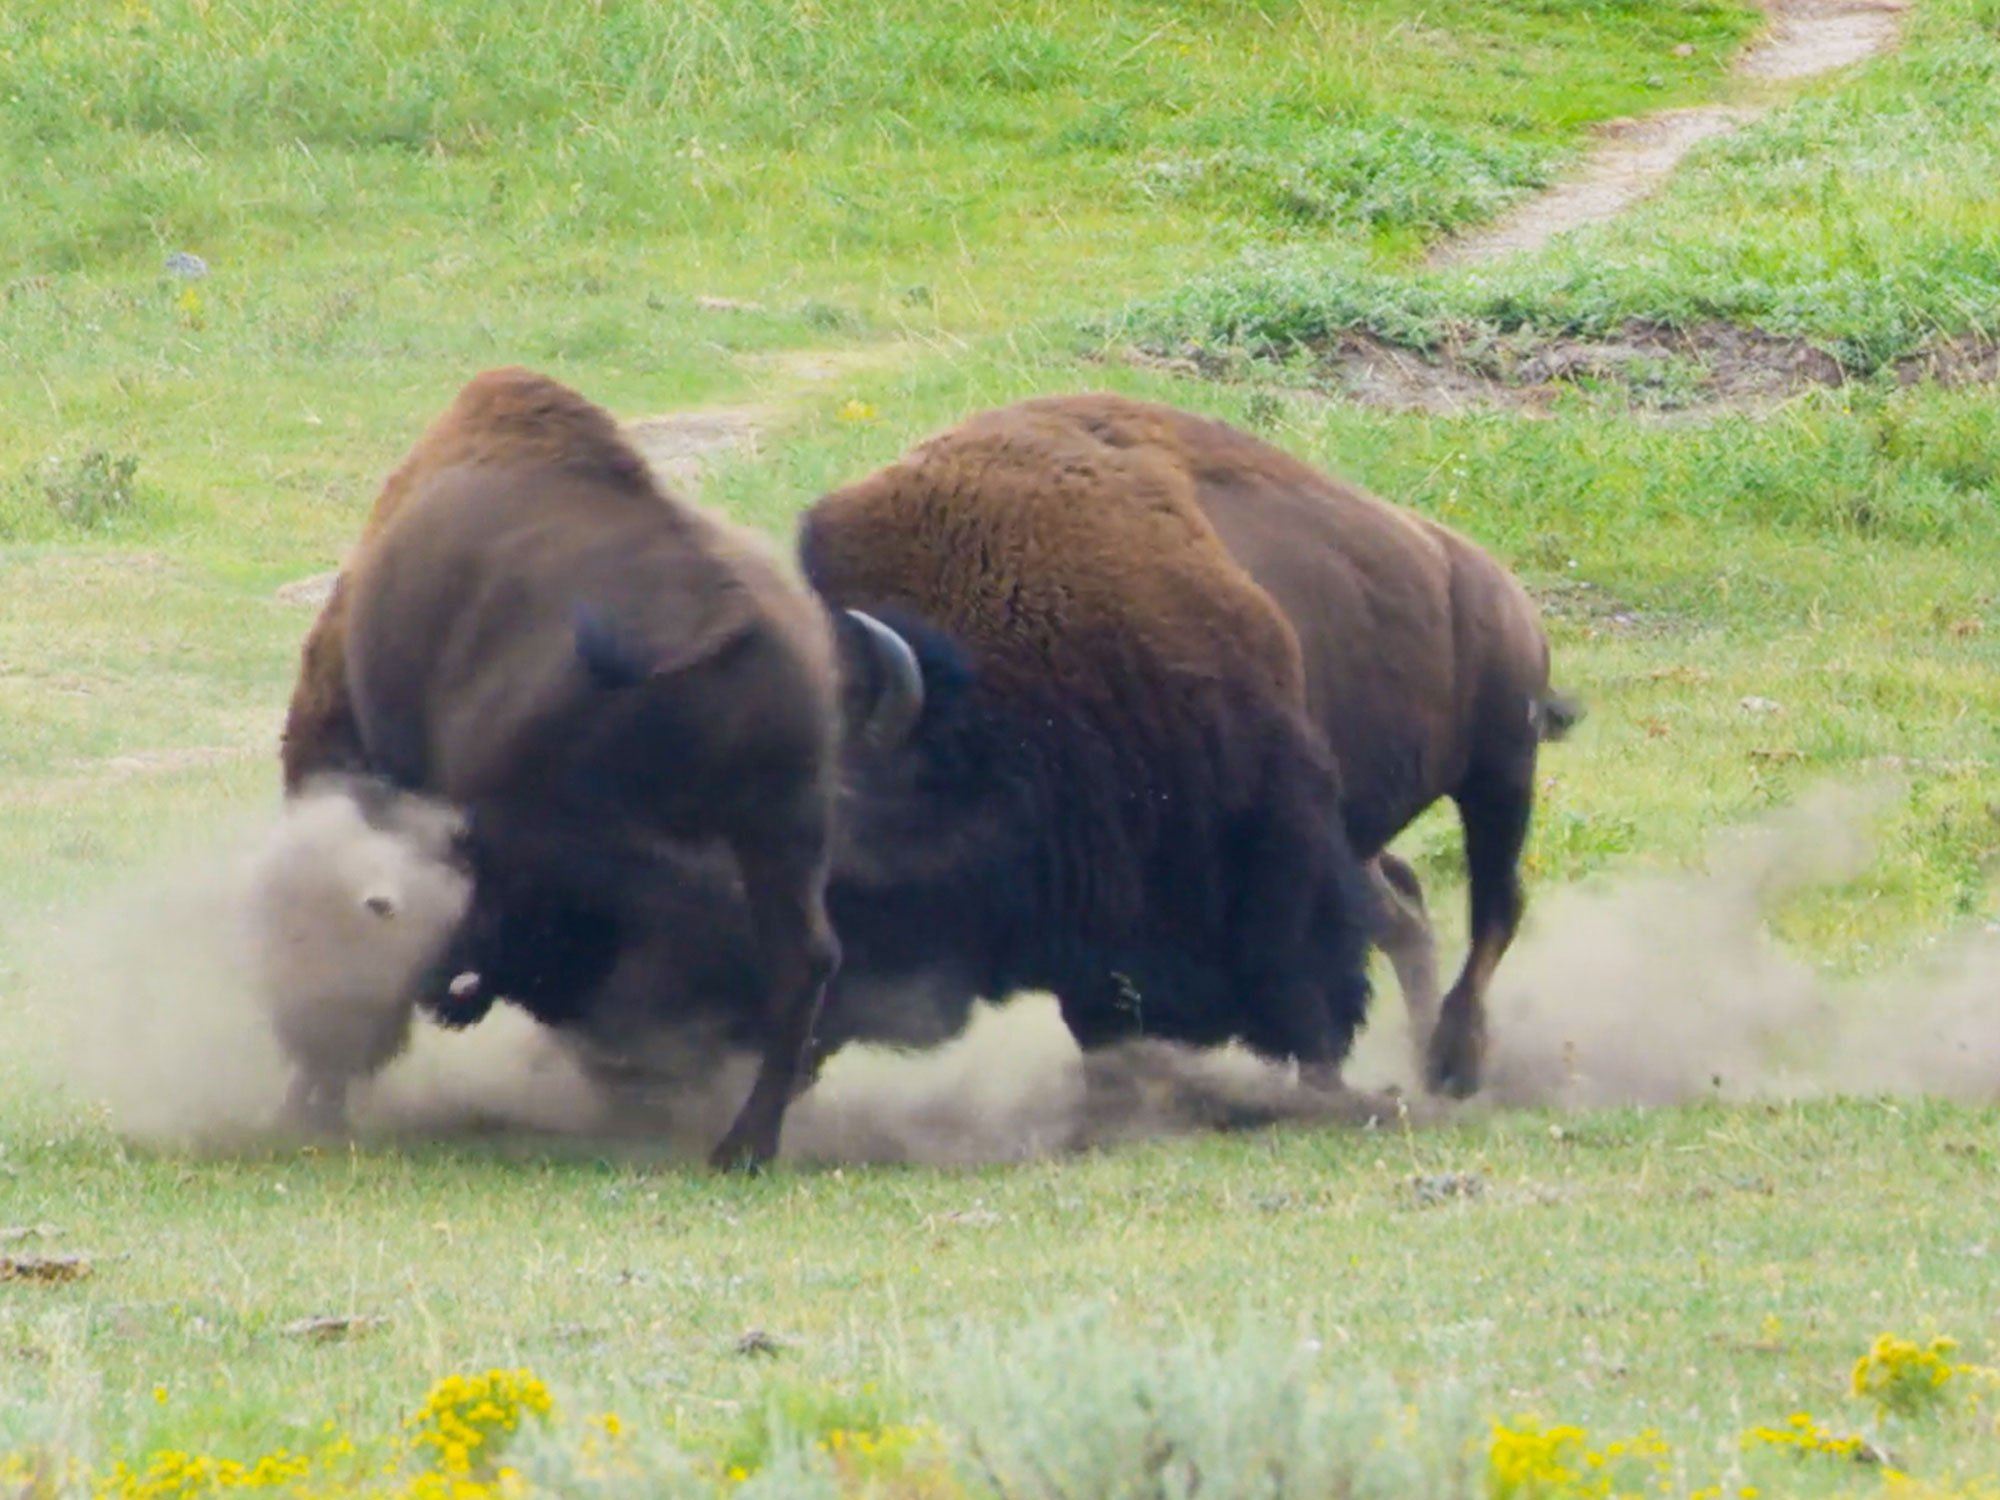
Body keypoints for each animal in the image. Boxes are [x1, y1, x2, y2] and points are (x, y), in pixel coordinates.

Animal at [806, 394, 1578, 1098]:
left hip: (1501, 770)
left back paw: (1454, 1063)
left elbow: (1304, 975)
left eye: (845, 862)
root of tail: (1500, 584)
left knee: (1492, 910)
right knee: (1408, 908)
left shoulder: (1275, 834)